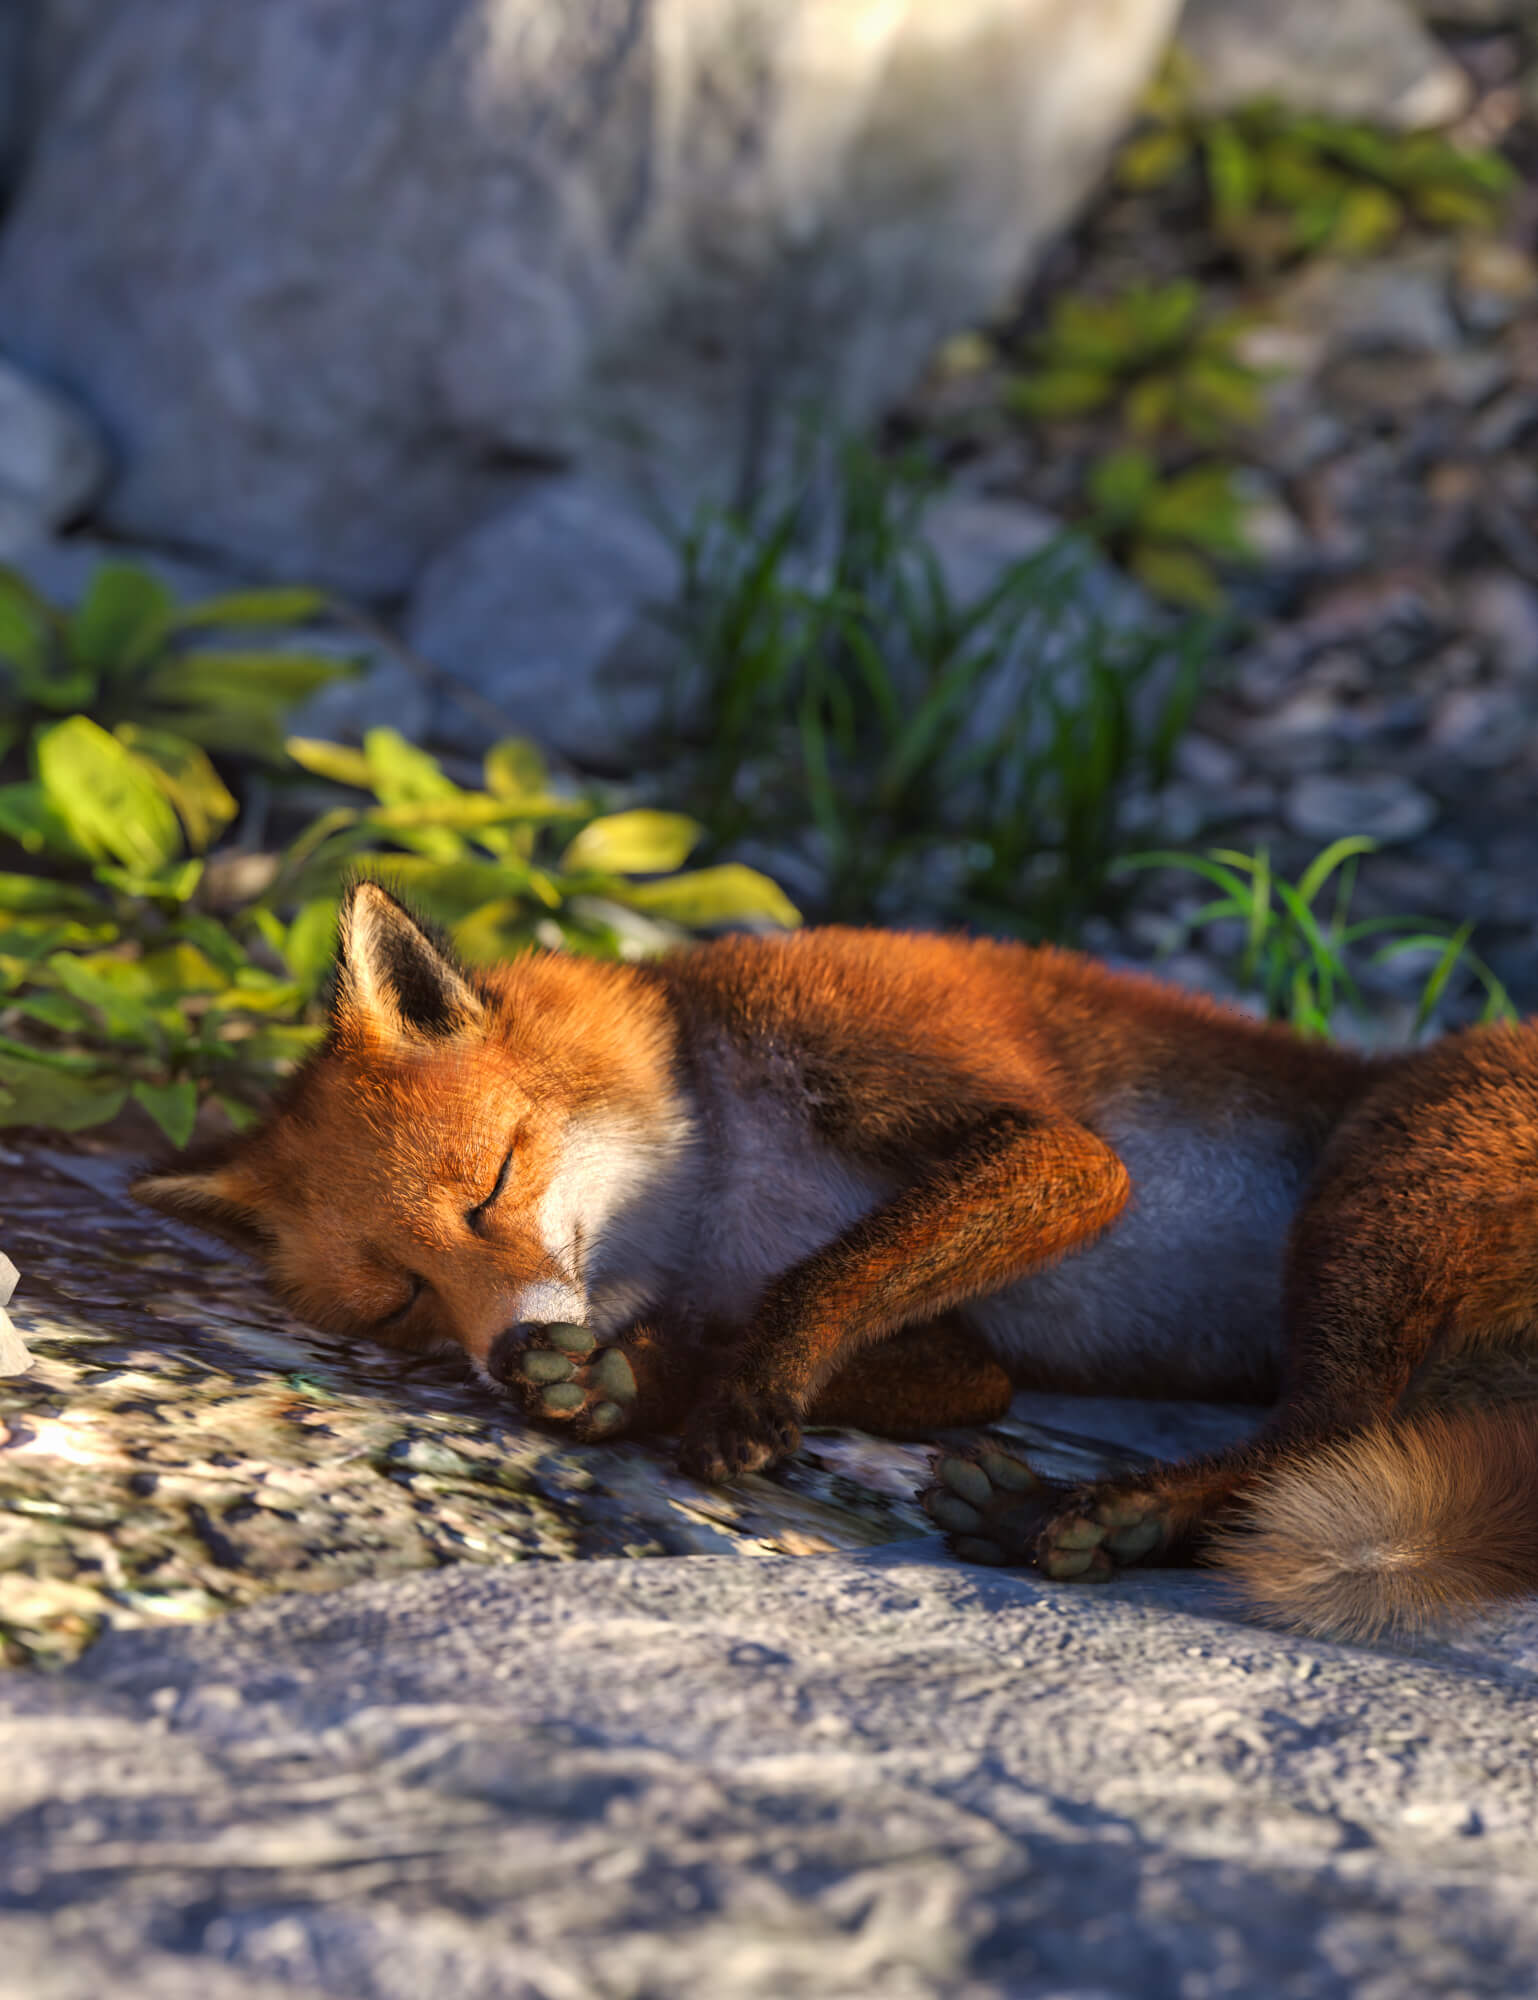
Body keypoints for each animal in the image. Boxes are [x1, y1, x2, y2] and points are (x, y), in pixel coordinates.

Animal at [135, 878, 1538, 1642]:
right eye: (400, 1299)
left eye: (487, 1187)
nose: (515, 1345)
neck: (720, 1180)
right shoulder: (966, 1357)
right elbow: (834, 1327)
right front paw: (635, 1382)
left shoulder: (1039, 1139)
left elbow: (823, 1277)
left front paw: (733, 1388)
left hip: (1388, 1169)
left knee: (1329, 1429)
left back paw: (1101, 1510)